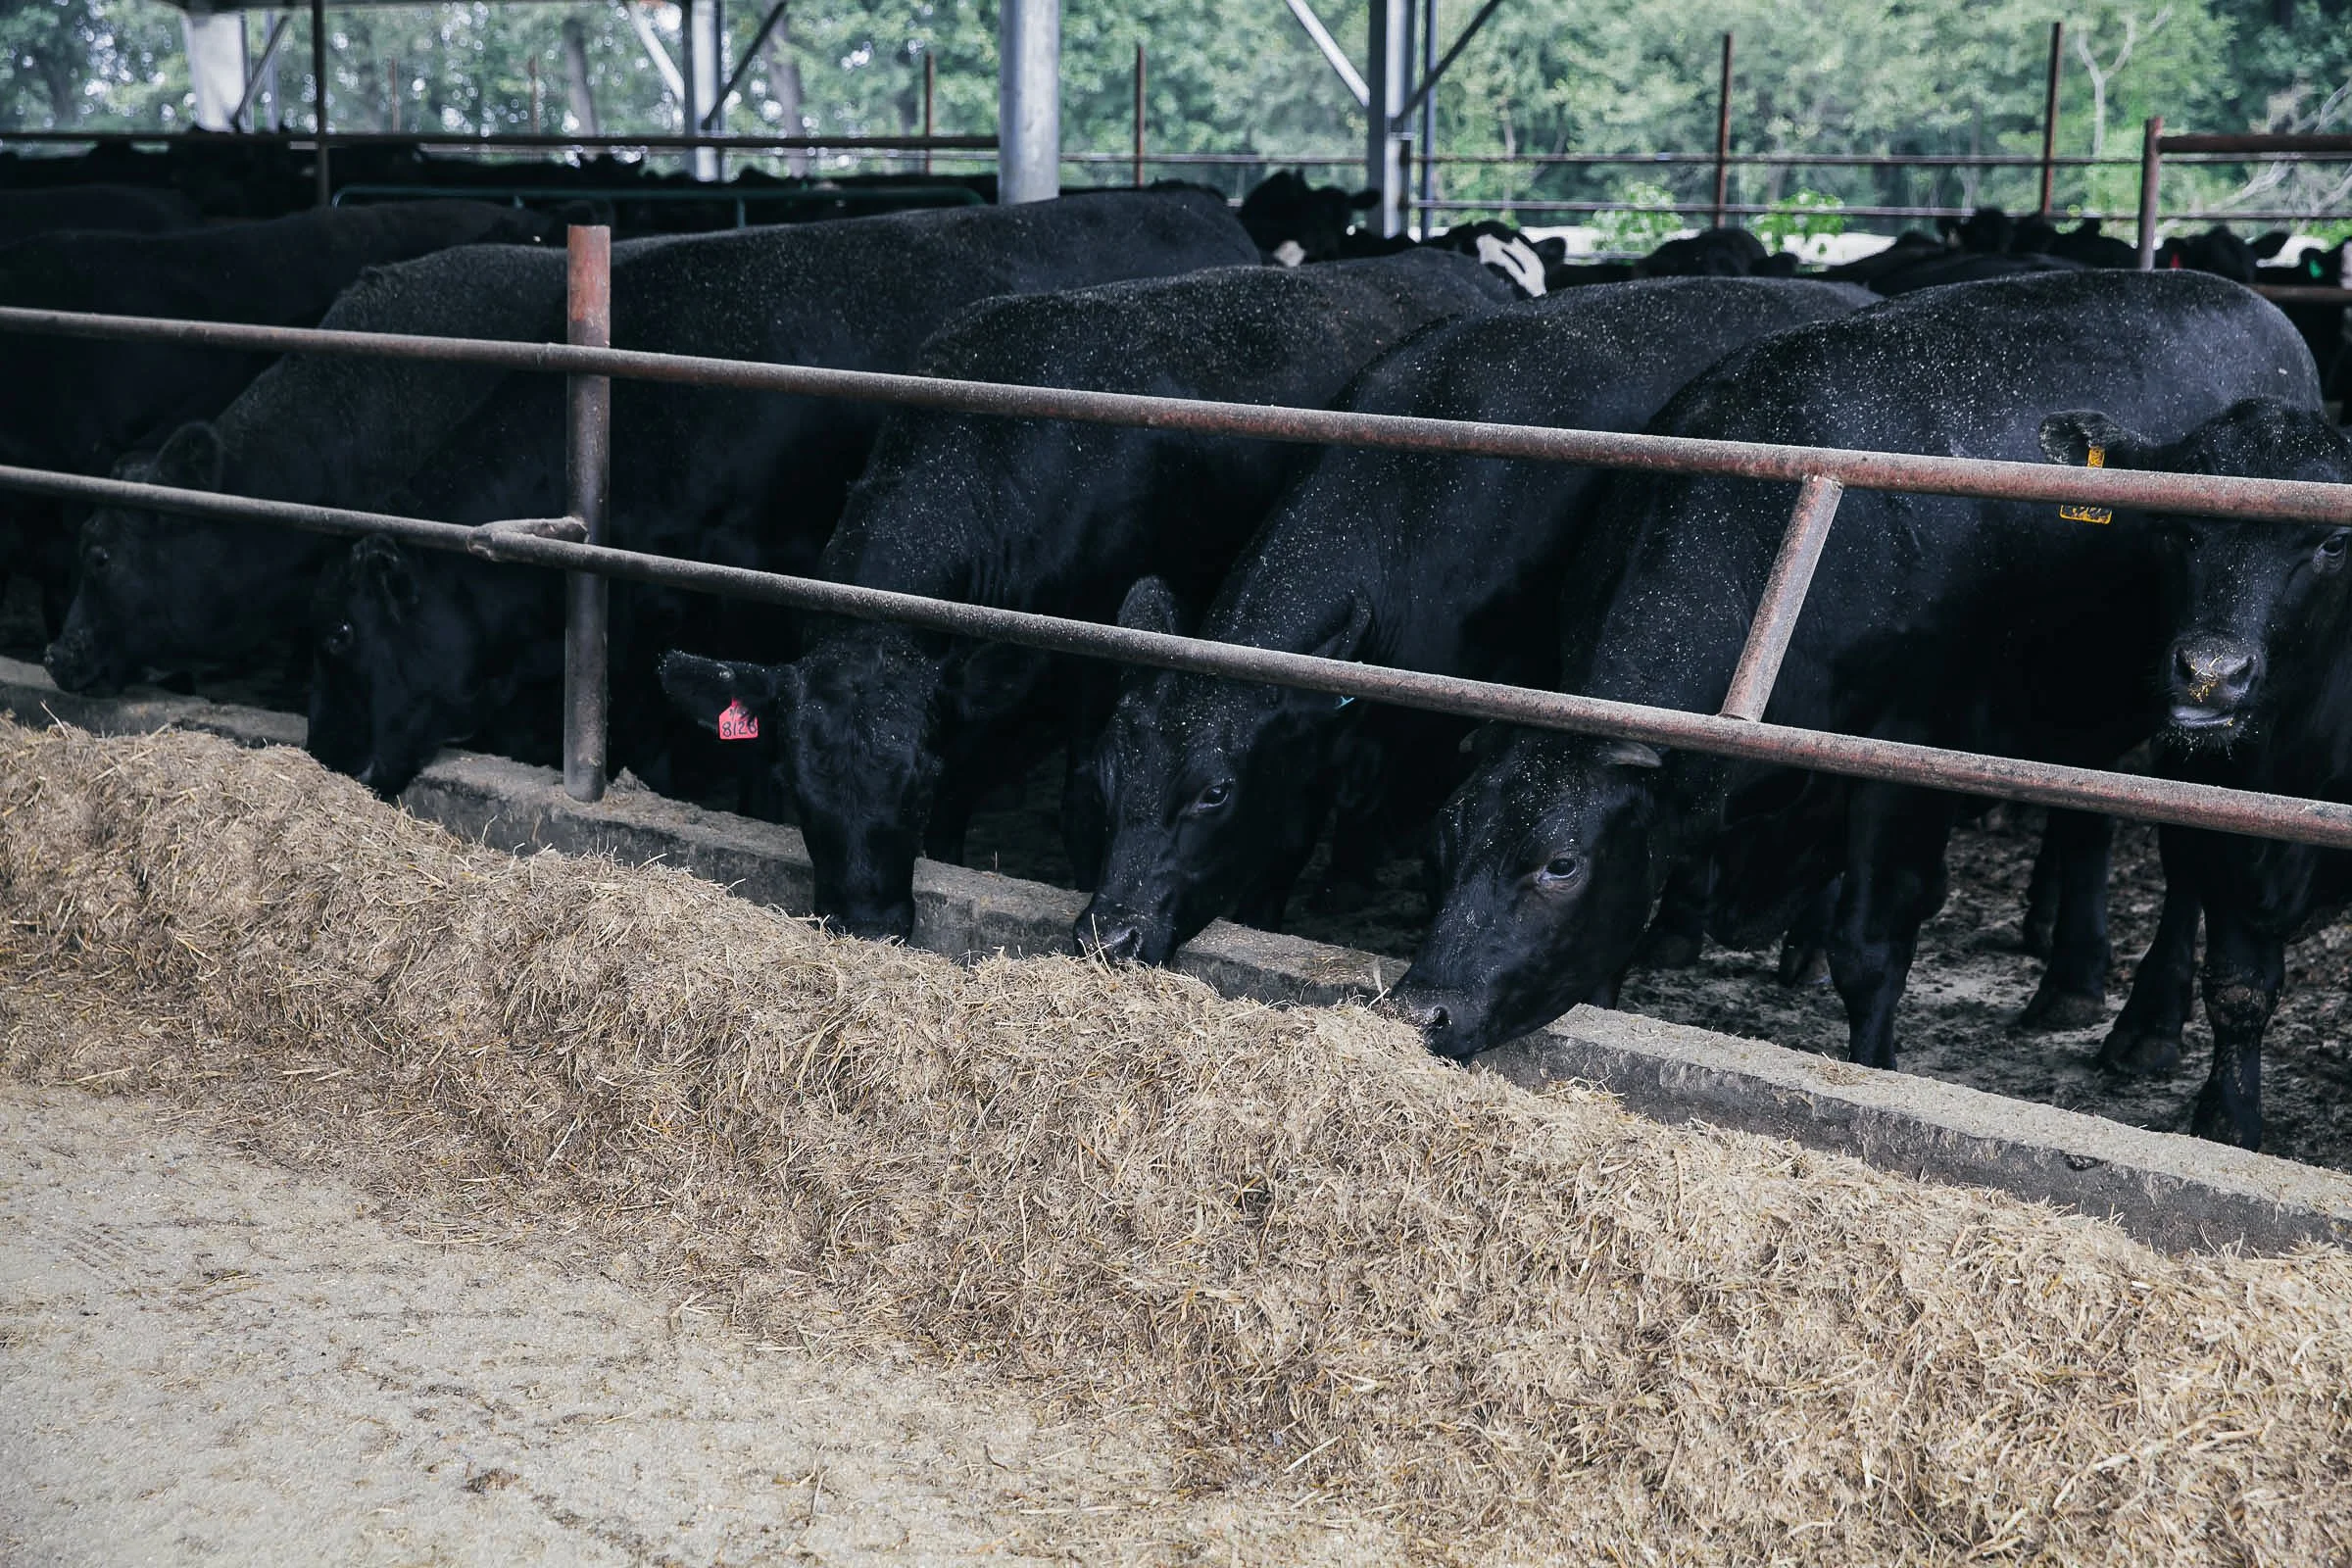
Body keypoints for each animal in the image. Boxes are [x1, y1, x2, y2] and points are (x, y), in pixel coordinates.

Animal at [1384, 271, 2320, 1074]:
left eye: (1560, 864)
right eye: (1439, 845)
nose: (1423, 1011)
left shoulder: (1905, 744)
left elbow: (1870, 945)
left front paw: (1875, 1064)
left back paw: (2140, 1021)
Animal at [2032, 398, 2352, 1148]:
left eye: (2333, 542)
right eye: (2174, 525)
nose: (2210, 674)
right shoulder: (2221, 825)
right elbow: (2238, 984)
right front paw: (2226, 1119)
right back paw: (2147, 1024)